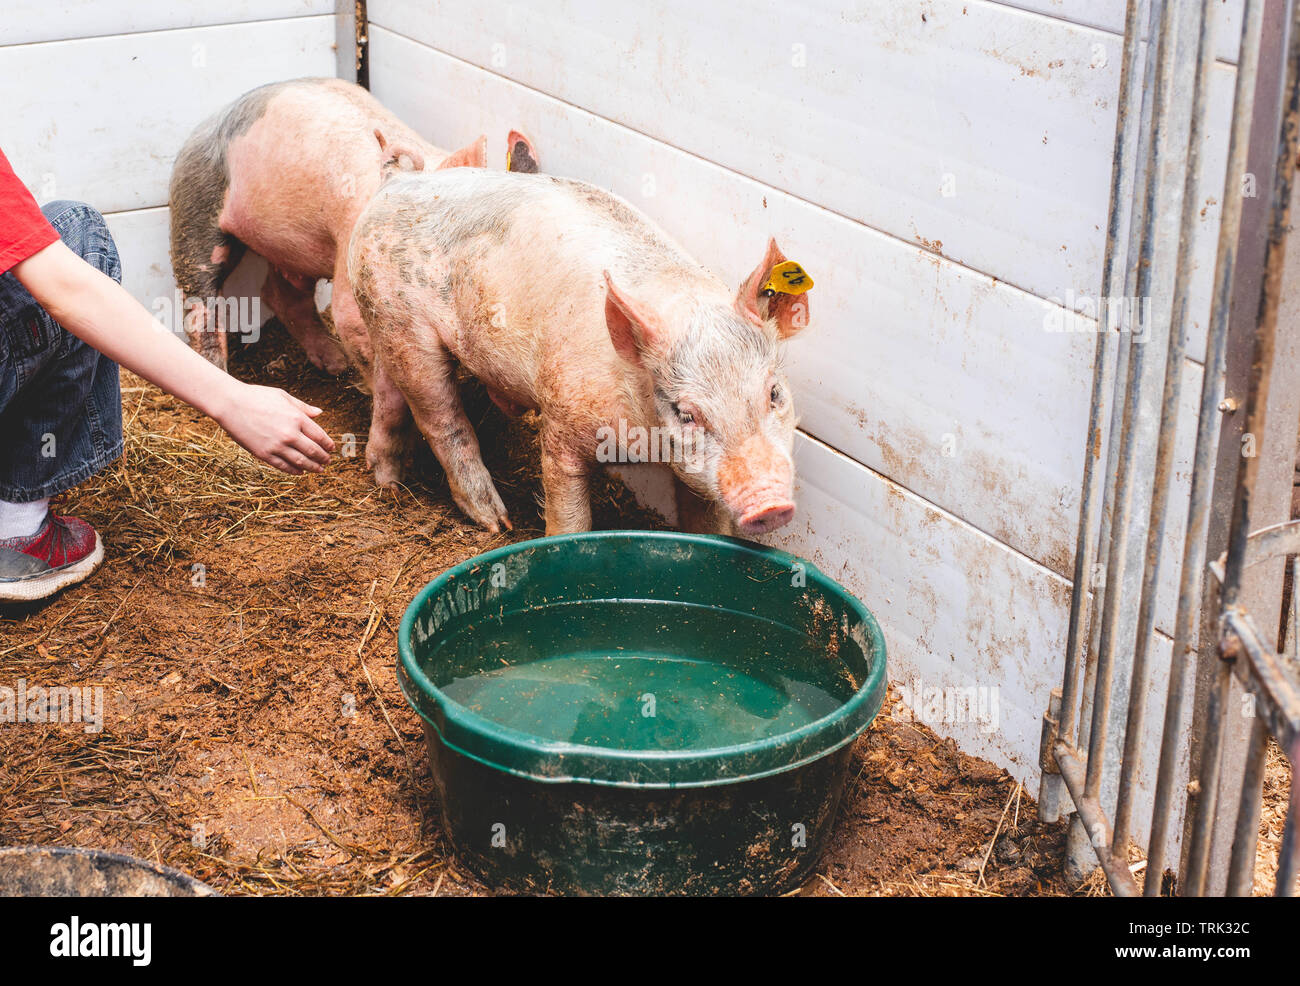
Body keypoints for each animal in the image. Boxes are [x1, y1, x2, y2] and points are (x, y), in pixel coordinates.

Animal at [167, 77, 539, 376]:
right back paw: (220, 370)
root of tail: (202, 127)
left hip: (293, 247)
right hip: (195, 204)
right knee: (199, 299)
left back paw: (335, 365)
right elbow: (352, 322)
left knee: (279, 293)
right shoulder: (350, 247)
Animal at [347, 168, 813, 537]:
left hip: (386, 319)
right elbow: (567, 513)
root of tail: (393, 183)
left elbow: (706, 521)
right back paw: (497, 522)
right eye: (686, 413)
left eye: (774, 393)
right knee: (440, 418)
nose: (771, 505)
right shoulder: (561, 419)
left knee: (388, 394)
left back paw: (386, 481)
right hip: (407, 326)